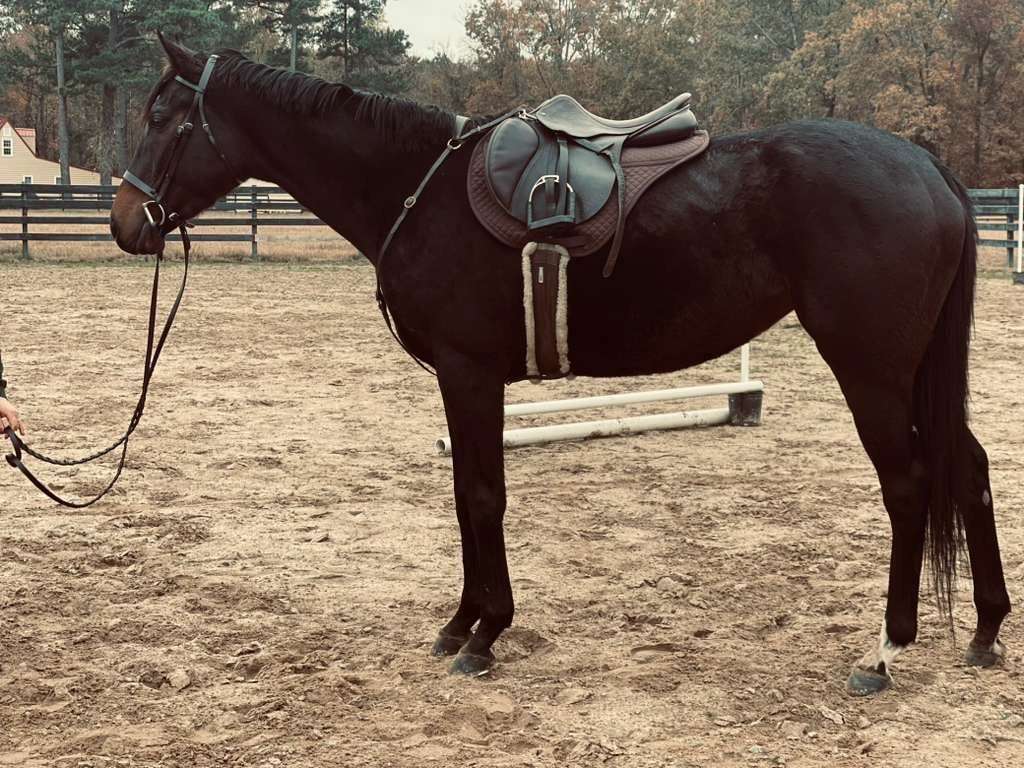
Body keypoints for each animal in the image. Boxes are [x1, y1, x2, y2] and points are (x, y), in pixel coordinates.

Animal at [109, 33, 1011, 695]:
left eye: (163, 116)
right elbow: (467, 496)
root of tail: (927, 164)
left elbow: (482, 496)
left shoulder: (469, 373)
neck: (417, 190)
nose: (125, 222)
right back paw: (987, 631)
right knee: (967, 466)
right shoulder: (464, 383)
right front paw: (461, 622)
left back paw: (885, 651)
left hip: (873, 370)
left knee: (909, 484)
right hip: (915, 371)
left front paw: (484, 634)